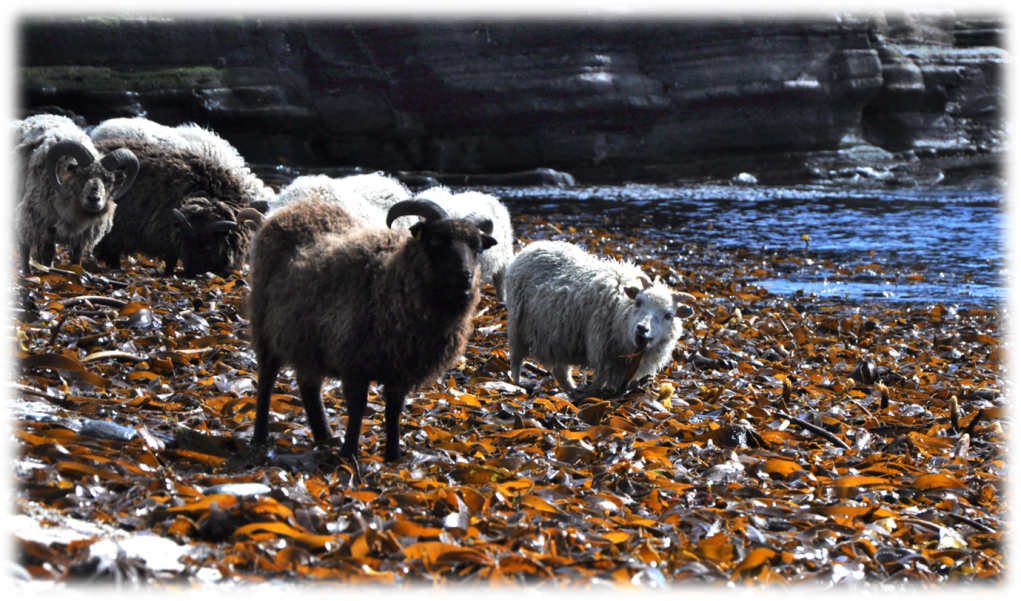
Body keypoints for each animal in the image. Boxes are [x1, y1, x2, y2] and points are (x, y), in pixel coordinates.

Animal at [2, 114, 139, 273]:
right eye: (80, 176)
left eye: (109, 181)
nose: (94, 199)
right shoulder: (45, 221)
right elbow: (48, 253)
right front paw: (47, 270)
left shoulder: (81, 232)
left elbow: (76, 257)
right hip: (19, 211)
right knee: (25, 246)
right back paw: (27, 272)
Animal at [248, 197, 497, 462]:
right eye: (436, 241)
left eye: (478, 249)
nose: (465, 276)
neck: (390, 279)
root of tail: (296, 208)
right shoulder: (353, 361)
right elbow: (358, 408)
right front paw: (349, 453)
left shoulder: (401, 371)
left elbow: (393, 411)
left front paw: (393, 456)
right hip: (264, 326)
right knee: (266, 379)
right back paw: (260, 437)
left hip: (307, 340)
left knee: (309, 386)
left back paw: (324, 436)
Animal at [505, 240, 697, 394]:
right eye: (638, 303)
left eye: (669, 315)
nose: (642, 328)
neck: (621, 307)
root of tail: (534, 245)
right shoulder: (605, 356)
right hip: (516, 324)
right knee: (516, 360)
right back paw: (516, 385)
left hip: (558, 338)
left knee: (561, 371)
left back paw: (573, 392)